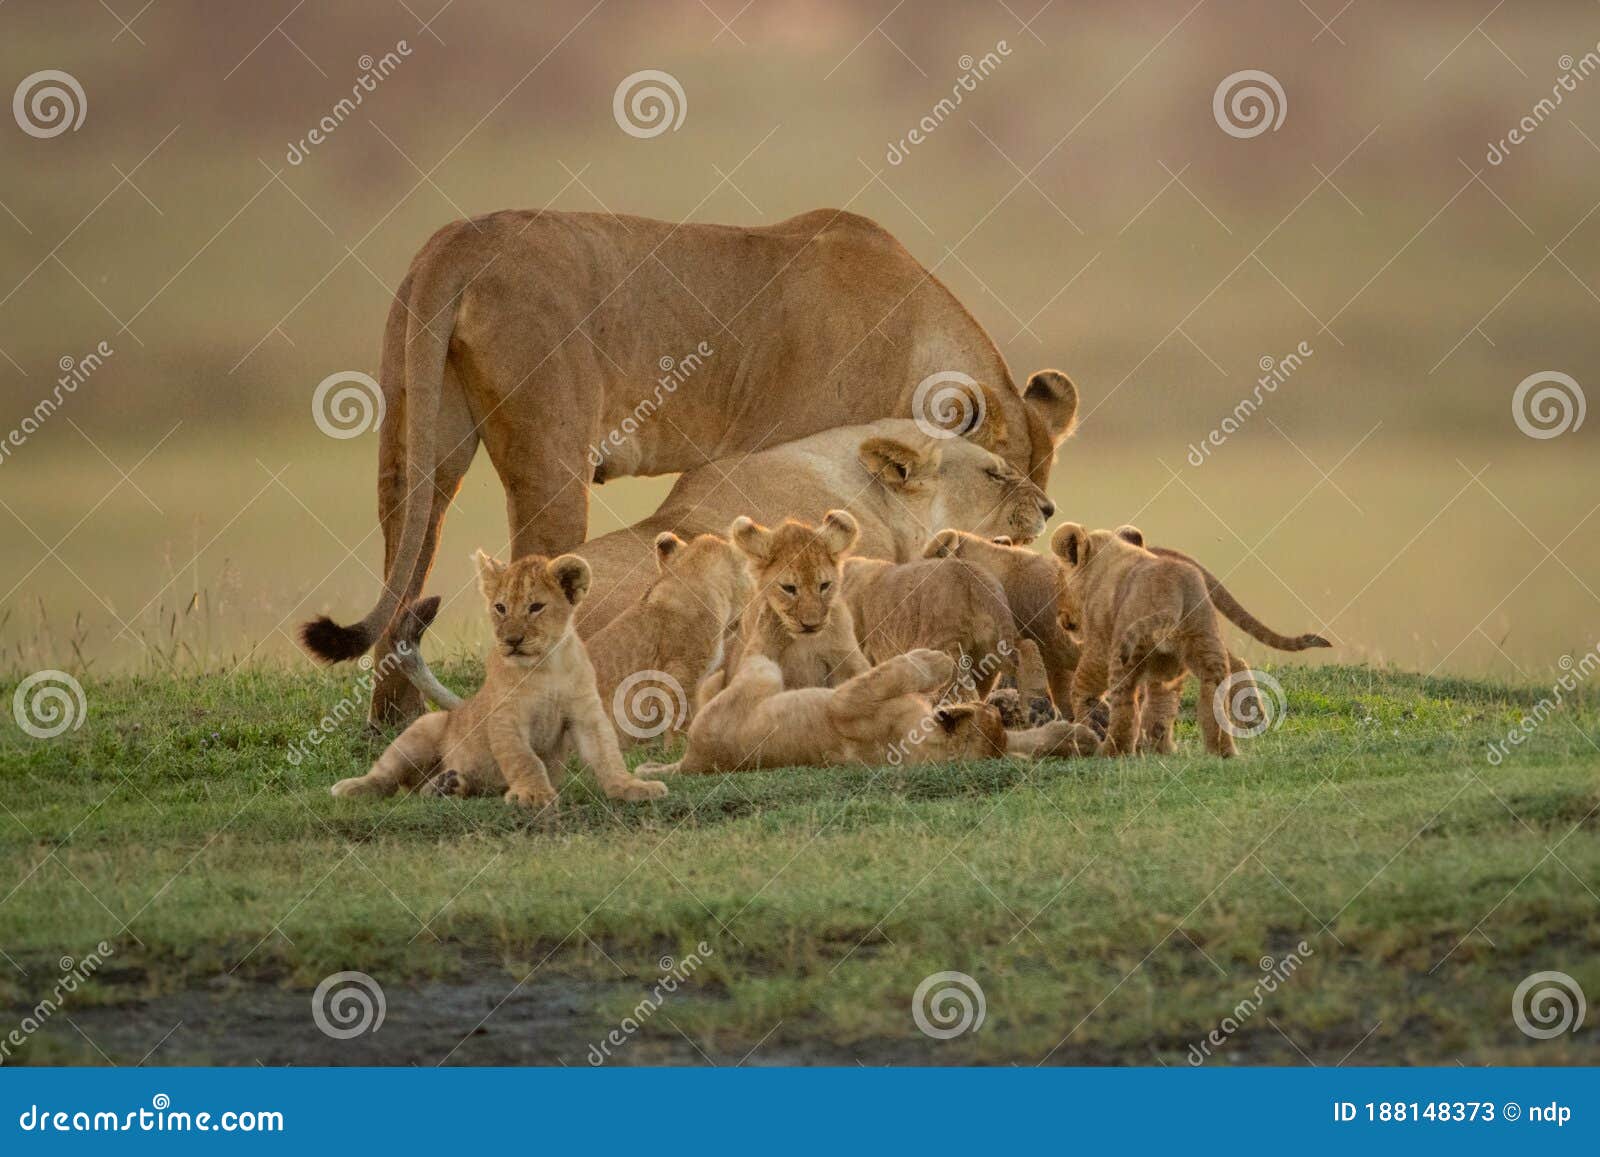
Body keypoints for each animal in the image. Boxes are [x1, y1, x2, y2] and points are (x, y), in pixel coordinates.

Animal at [328, 551, 667, 807]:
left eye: (536, 607)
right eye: (500, 607)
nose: (512, 640)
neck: (546, 666)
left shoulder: (586, 714)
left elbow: (606, 754)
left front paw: (632, 787)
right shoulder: (506, 718)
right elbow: (525, 759)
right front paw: (534, 794)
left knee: (425, 789)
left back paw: (447, 785)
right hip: (421, 731)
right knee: (388, 778)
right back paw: (353, 787)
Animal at [725, 510, 869, 690]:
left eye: (824, 585)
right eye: (789, 588)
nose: (811, 625)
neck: (804, 643)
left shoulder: (847, 655)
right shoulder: (757, 653)